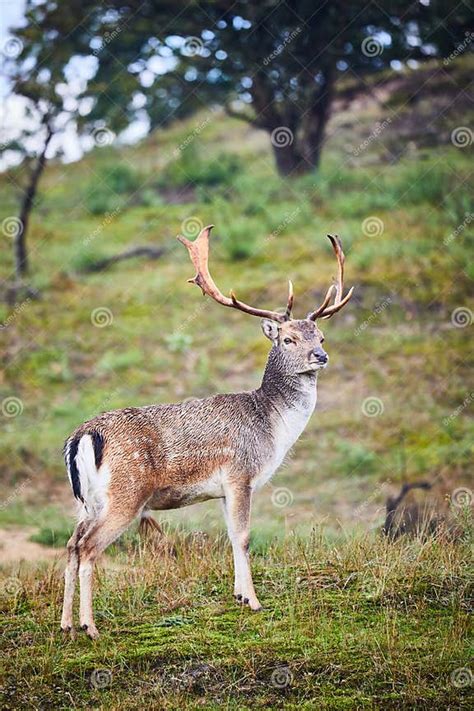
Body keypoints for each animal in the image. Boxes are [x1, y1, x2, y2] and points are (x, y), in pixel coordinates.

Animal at [60, 225, 354, 639]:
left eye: (321, 336)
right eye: (288, 339)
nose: (321, 357)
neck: (271, 426)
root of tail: (82, 436)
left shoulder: (222, 490)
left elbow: (231, 535)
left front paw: (239, 595)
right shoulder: (240, 475)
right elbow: (244, 536)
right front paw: (254, 601)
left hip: (85, 501)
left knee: (71, 545)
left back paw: (65, 624)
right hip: (125, 495)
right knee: (88, 547)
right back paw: (90, 626)